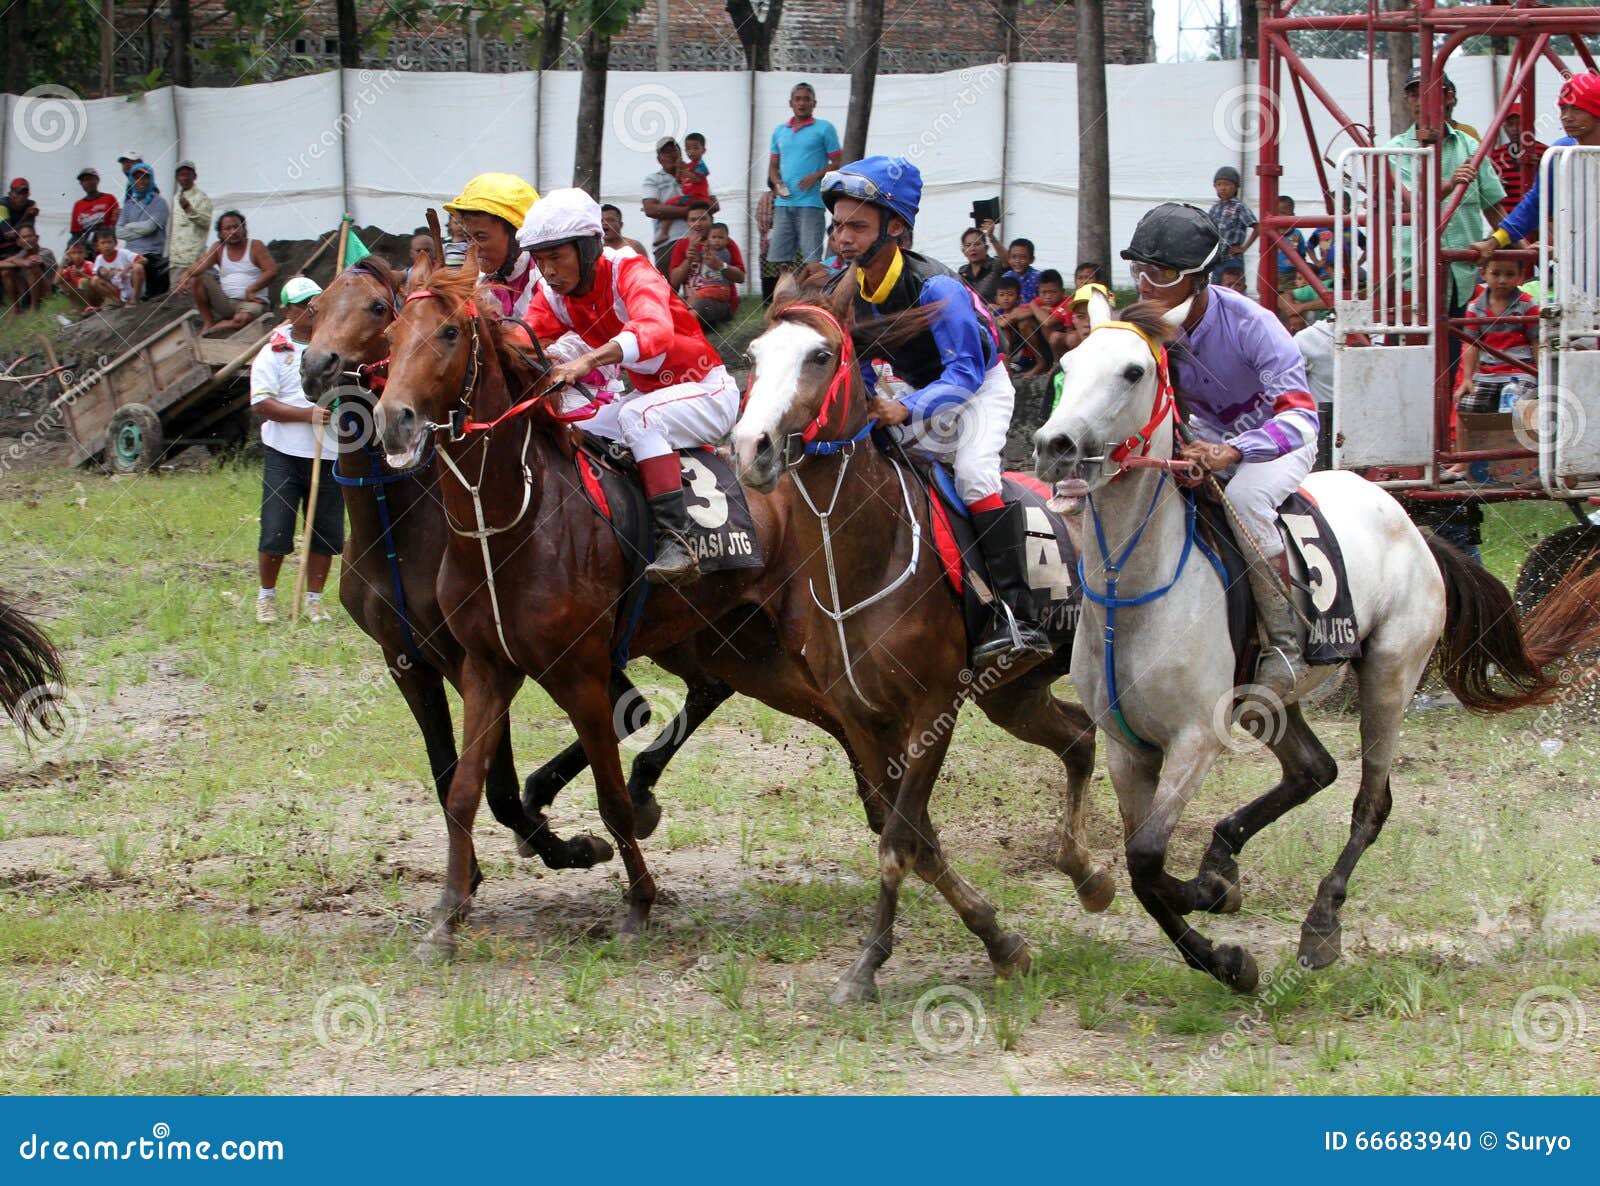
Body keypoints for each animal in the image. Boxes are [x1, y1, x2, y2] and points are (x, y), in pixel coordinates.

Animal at [730, 278, 1107, 1004]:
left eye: (820, 355)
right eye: (755, 357)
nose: (750, 448)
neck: (860, 559)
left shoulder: (934, 707)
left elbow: (900, 842)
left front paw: (867, 965)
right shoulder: (860, 715)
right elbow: (914, 840)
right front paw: (1000, 941)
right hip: (1014, 696)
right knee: (1078, 737)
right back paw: (1088, 873)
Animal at [1033, 292, 1600, 992]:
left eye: (1133, 371)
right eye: (1068, 364)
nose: (1054, 446)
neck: (1131, 592)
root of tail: (1416, 527)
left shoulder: (1196, 736)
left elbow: (1147, 860)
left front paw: (1217, 911)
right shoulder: (1126, 745)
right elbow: (1144, 872)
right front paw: (1223, 941)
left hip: (1389, 674)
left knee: (1371, 801)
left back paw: (1321, 921)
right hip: (1272, 698)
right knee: (1314, 769)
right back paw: (1225, 855)